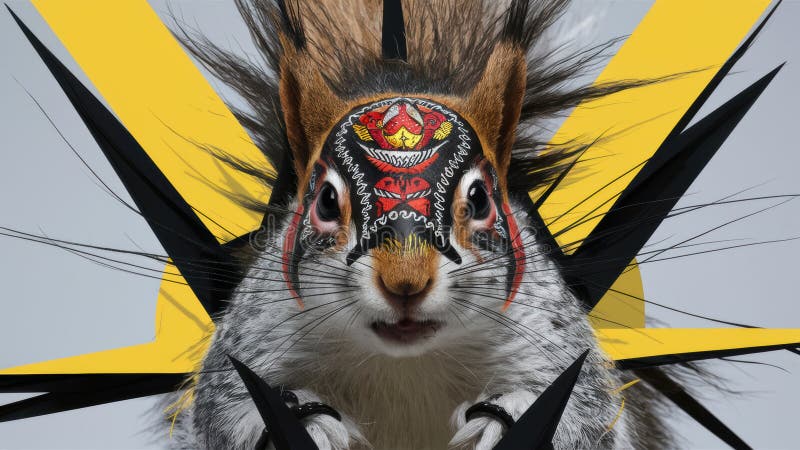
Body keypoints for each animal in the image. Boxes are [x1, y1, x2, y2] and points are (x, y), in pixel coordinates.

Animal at [162, 1, 678, 448]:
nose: (405, 284)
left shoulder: (550, 332)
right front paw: (302, 420)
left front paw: (507, 419)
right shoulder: (256, 329)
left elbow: (590, 409)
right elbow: (221, 407)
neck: (406, 364)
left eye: (480, 198)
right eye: (325, 201)